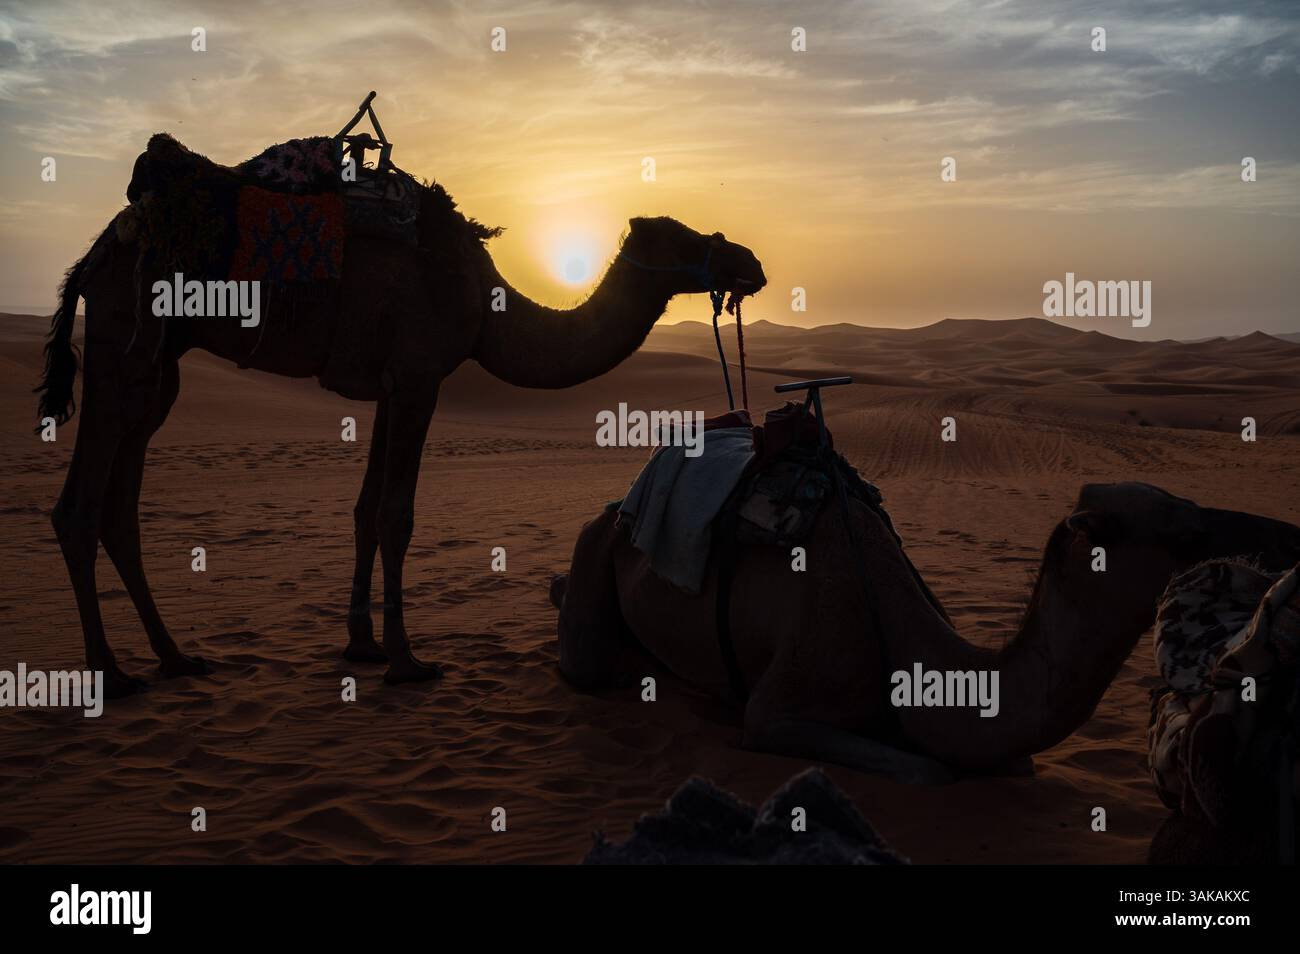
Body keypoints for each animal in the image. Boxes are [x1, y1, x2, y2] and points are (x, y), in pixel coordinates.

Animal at [35, 146, 767, 698]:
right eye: (685, 236)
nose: (751, 263)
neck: (488, 307)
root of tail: (99, 250)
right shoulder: (420, 377)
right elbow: (397, 515)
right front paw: (407, 660)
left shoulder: (391, 385)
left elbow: (365, 509)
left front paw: (360, 644)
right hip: (124, 344)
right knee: (79, 506)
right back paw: (111, 671)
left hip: (159, 364)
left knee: (119, 504)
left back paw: (174, 656)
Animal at [552, 477, 1300, 783]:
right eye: (1185, 533)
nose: (1286, 535)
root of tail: (617, 504)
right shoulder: (776, 710)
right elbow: (928, 770)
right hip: (595, 548)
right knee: (586, 660)